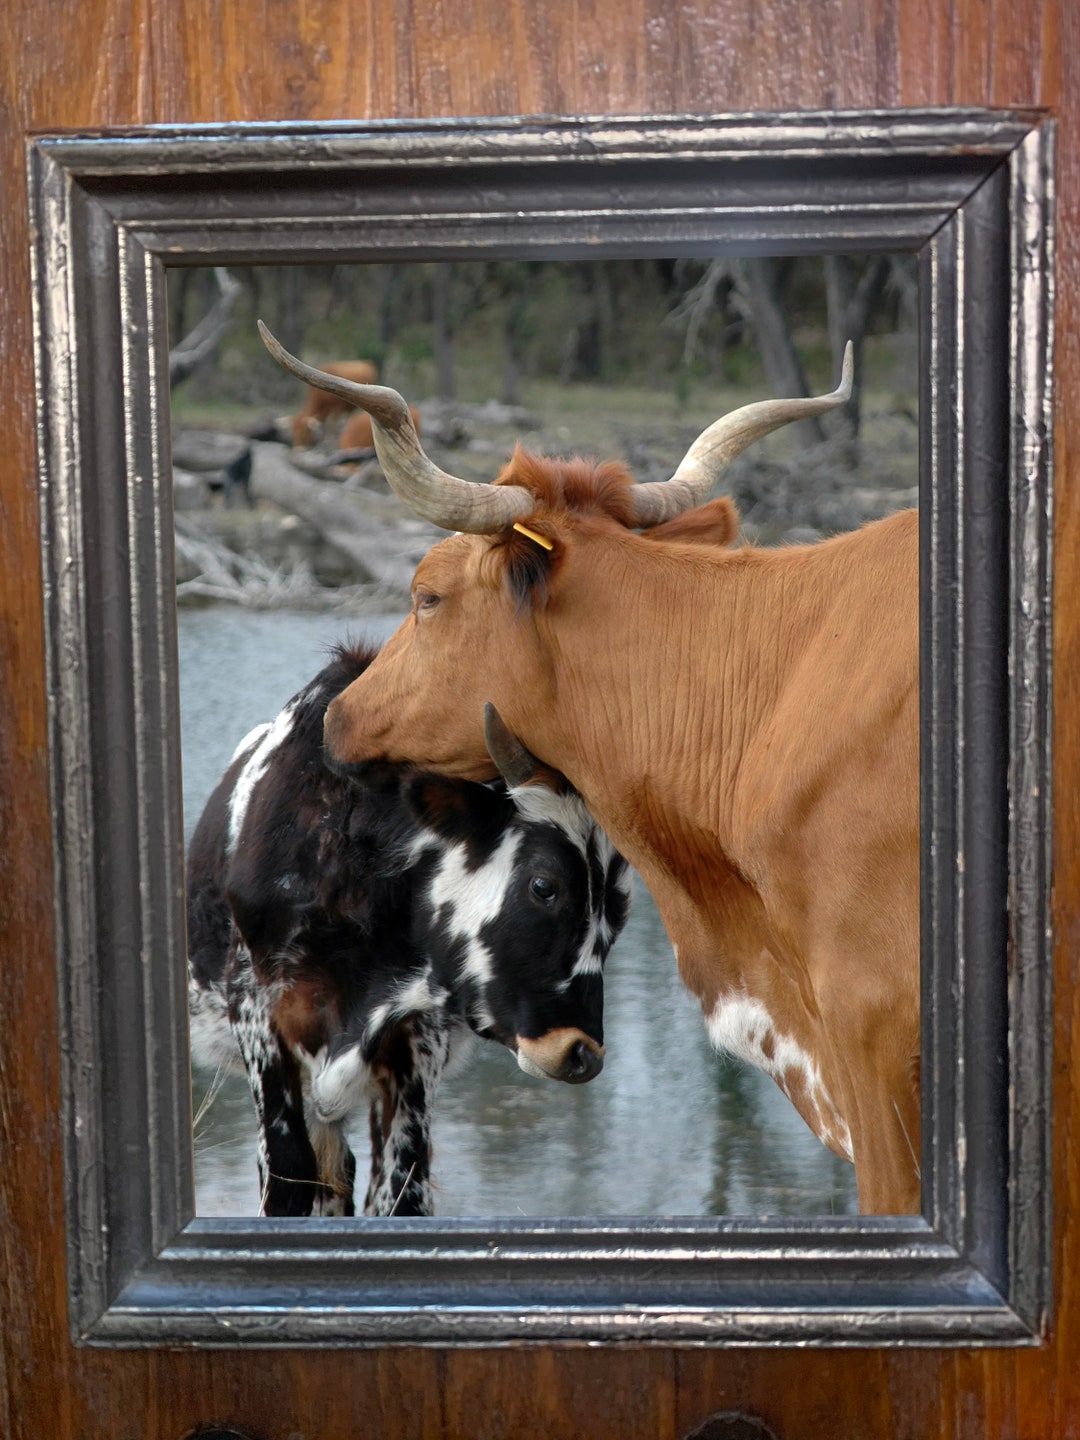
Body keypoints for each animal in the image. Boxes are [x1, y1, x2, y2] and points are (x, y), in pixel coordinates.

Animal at [186, 640, 631, 1218]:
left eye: (617, 909)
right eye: (544, 885)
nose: (580, 1053)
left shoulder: (416, 1041)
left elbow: (402, 1187)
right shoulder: (257, 1009)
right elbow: (286, 1176)